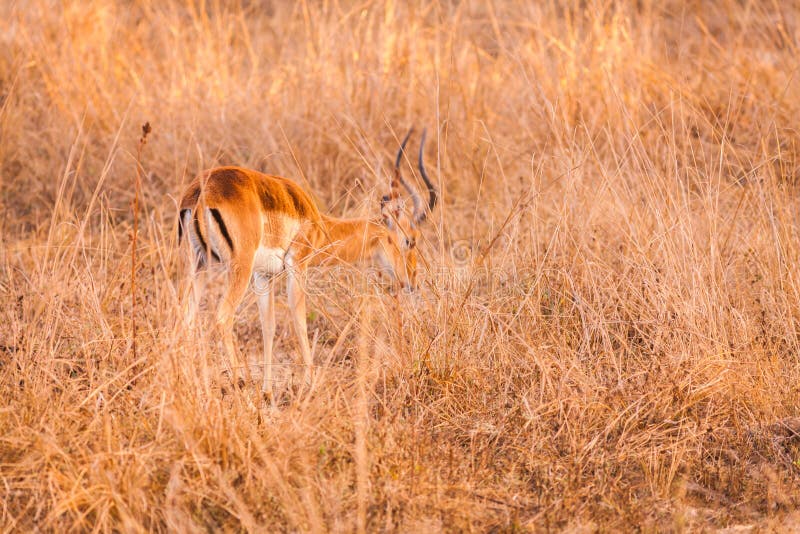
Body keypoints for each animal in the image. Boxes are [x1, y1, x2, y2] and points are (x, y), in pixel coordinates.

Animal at [178, 128, 437, 399]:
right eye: (410, 240)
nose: (412, 280)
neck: (318, 223)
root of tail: (201, 193)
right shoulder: (297, 266)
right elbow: (299, 320)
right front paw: (310, 384)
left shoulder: (262, 276)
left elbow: (268, 326)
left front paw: (267, 391)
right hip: (238, 268)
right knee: (221, 316)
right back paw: (238, 381)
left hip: (197, 263)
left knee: (184, 317)